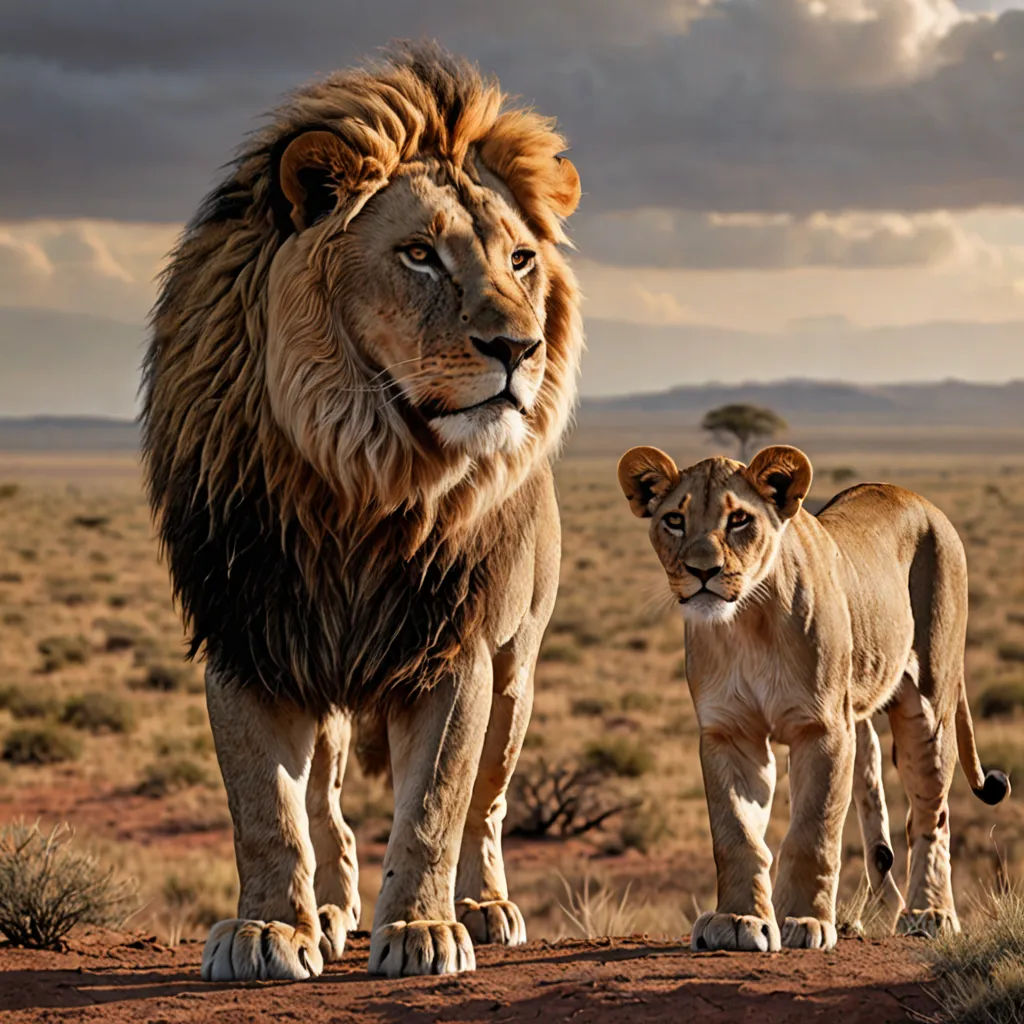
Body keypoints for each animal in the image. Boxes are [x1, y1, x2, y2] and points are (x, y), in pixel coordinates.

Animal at [141, 46, 582, 981]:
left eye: (521, 259)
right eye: (419, 254)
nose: (519, 348)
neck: (365, 476)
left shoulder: (455, 647)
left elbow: (436, 805)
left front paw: (422, 928)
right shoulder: (250, 635)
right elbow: (265, 812)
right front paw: (269, 930)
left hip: (519, 668)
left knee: (489, 803)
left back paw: (483, 907)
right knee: (328, 808)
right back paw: (333, 908)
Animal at [617, 444, 1009, 951]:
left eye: (739, 520)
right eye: (674, 520)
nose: (703, 571)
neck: (747, 623)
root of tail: (919, 500)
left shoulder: (822, 727)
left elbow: (813, 830)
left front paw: (803, 921)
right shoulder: (730, 732)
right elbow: (736, 832)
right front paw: (739, 919)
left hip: (928, 704)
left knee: (930, 816)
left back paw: (930, 913)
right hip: (861, 714)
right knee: (875, 806)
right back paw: (870, 915)